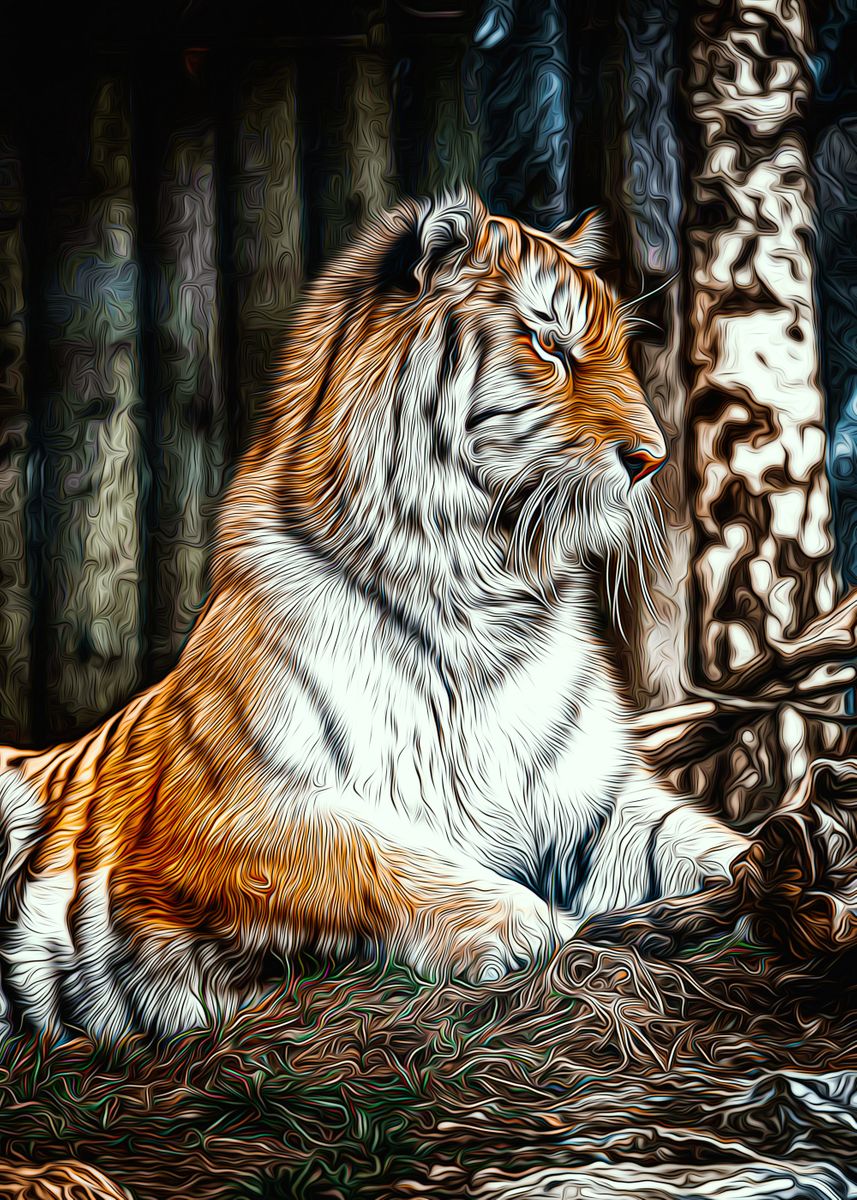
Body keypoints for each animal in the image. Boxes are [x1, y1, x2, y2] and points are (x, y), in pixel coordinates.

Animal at [0, 189, 747, 1041]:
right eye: (546, 345)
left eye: (618, 350)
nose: (653, 458)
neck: (479, 596)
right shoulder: (227, 809)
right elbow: (371, 854)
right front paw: (533, 928)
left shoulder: (594, 801)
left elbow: (695, 837)